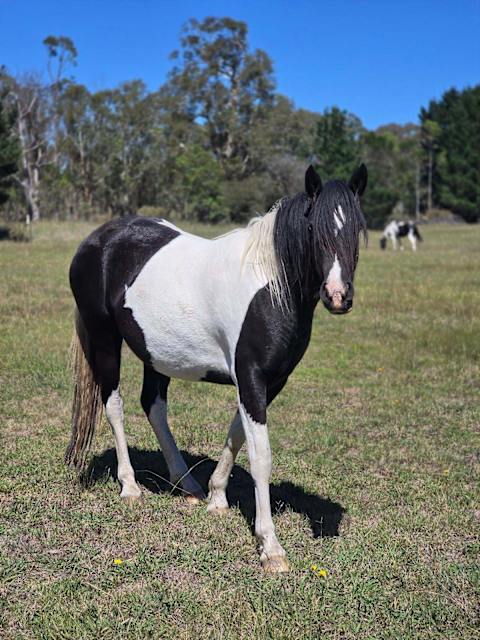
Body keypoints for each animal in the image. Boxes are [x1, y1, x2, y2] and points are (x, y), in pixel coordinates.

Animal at [65, 164, 368, 572]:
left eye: (356, 227)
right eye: (311, 229)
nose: (337, 296)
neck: (270, 288)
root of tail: (96, 240)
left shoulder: (269, 382)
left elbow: (236, 435)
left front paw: (216, 496)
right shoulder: (251, 377)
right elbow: (260, 456)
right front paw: (270, 546)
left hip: (156, 351)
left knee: (153, 405)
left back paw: (187, 485)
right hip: (104, 338)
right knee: (114, 405)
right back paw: (130, 486)